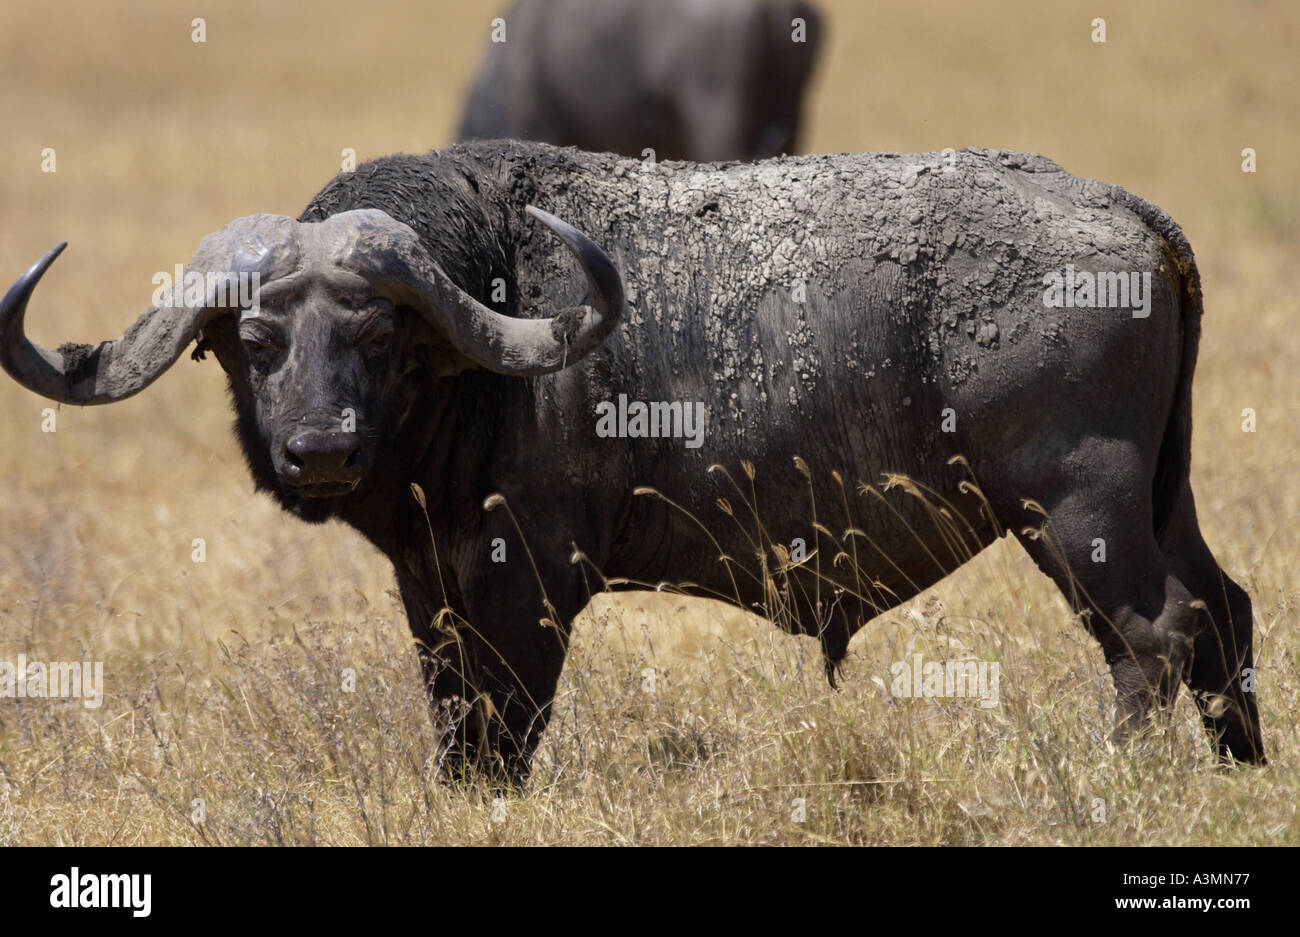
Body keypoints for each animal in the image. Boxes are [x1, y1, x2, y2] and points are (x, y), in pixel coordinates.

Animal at [0, 141, 1265, 782]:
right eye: (256, 341)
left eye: (380, 337)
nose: (319, 450)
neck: (490, 341)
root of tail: (1124, 213)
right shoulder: (429, 586)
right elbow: (452, 714)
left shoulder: (524, 585)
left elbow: (505, 726)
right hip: (1160, 499)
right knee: (1223, 612)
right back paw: (1240, 770)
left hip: (1078, 509)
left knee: (1152, 634)